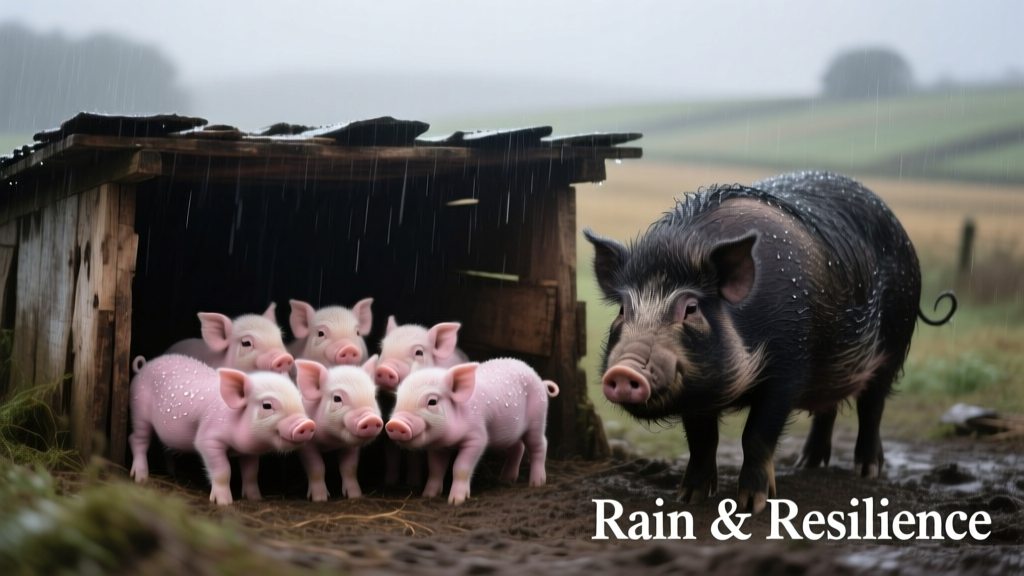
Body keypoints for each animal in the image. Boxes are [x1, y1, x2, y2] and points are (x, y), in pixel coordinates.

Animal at [128, 353, 317, 505]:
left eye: (300, 399)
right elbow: (222, 470)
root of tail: (142, 368)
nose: (306, 424)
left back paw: (172, 474)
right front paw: (224, 503)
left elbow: (251, 473)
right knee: (137, 440)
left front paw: (255, 498)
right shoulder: (208, 440)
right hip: (139, 411)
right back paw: (140, 478)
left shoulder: (249, 451)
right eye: (267, 405)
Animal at [294, 358, 384, 500]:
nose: (371, 419)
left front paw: (355, 496)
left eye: (374, 397)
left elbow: (349, 468)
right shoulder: (306, 444)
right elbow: (317, 467)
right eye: (337, 398)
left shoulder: (352, 446)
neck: (330, 442)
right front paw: (320, 499)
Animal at [384, 358, 560, 505]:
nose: (396, 423)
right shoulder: (438, 447)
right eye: (398, 399)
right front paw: (428, 495)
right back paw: (505, 480)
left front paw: (456, 501)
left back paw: (537, 483)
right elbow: (435, 469)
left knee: (540, 445)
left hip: (537, 418)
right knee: (518, 448)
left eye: (432, 402)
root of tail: (541, 381)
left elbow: (460, 468)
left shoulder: (477, 438)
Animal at [584, 171, 956, 514]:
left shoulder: (788, 369)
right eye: (623, 309)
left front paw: (753, 505)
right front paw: (688, 498)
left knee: (872, 406)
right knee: (828, 408)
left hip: (895, 342)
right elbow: (702, 441)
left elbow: (756, 436)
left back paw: (866, 472)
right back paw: (806, 464)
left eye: (690, 308)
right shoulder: (697, 391)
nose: (623, 371)